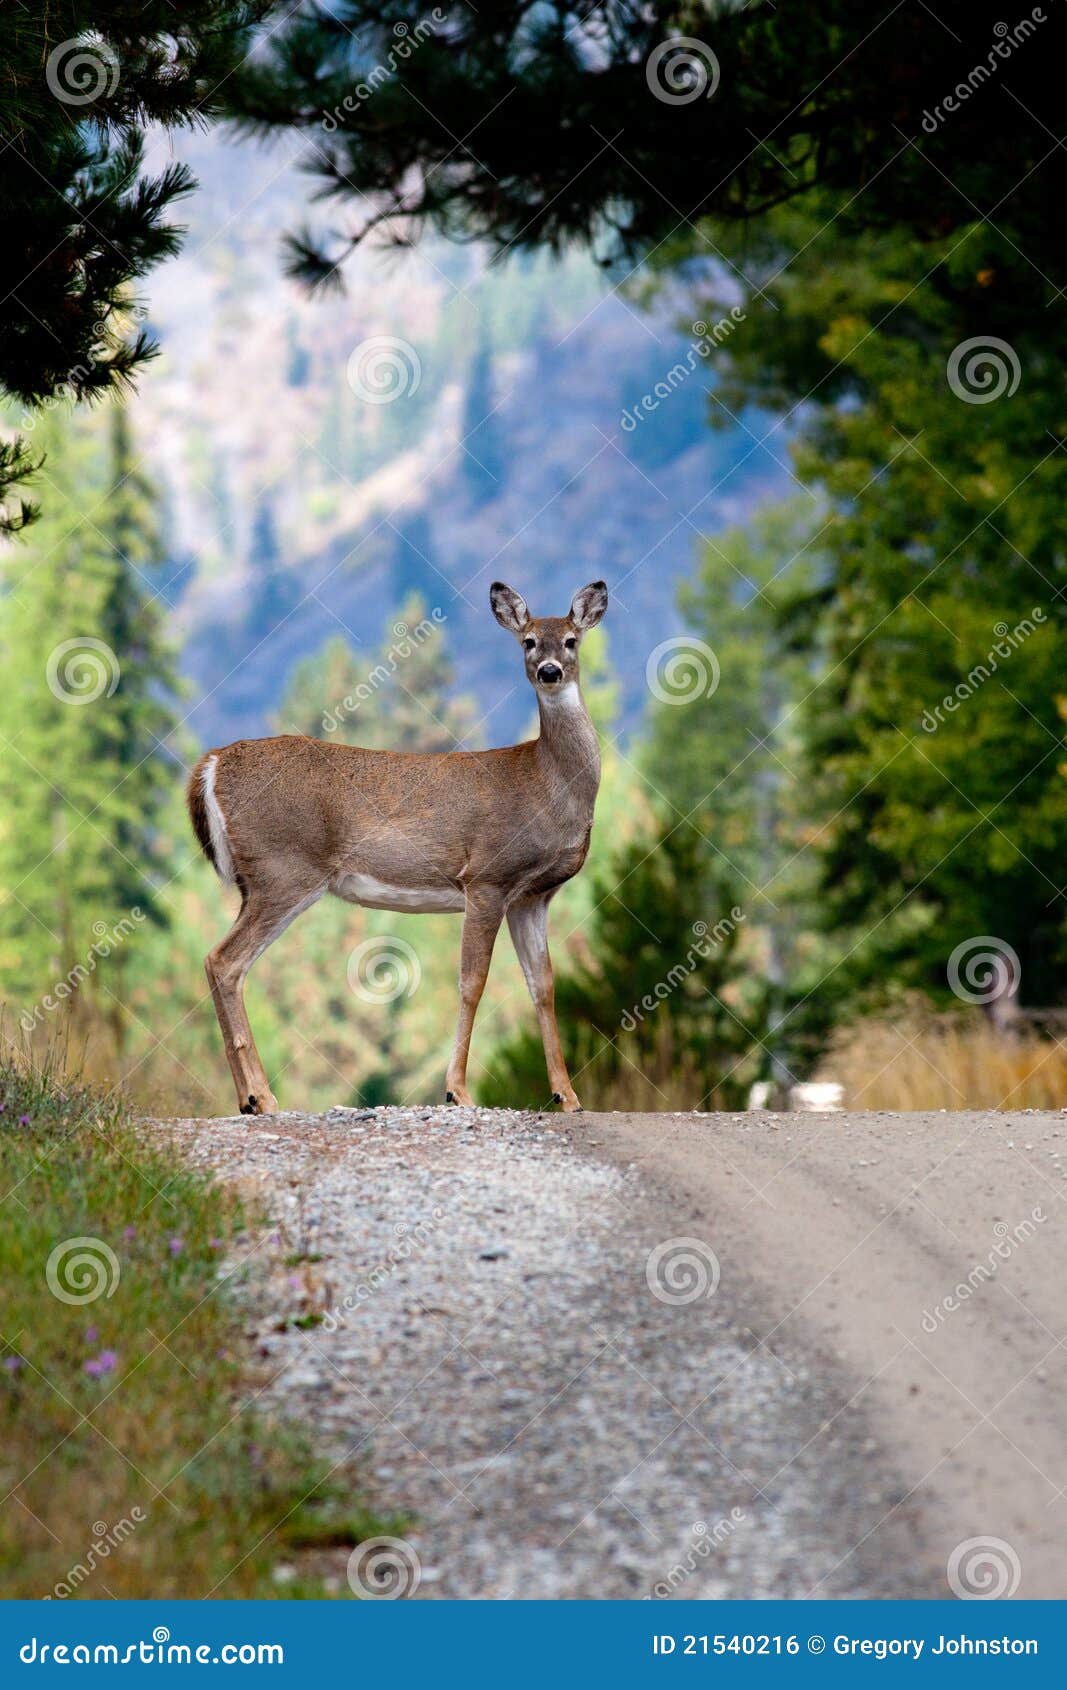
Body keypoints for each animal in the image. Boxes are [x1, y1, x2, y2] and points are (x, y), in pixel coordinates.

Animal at [186, 580, 609, 1117]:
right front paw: (457, 1091)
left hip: (260, 881)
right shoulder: (486, 876)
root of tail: (212, 763)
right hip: (283, 870)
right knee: (224, 960)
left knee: (226, 963)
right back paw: (261, 1096)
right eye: (528, 641)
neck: (545, 782)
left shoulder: (532, 897)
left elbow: (544, 985)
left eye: (572, 640)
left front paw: (567, 1095)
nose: (549, 671)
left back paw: (248, 1096)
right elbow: (472, 982)